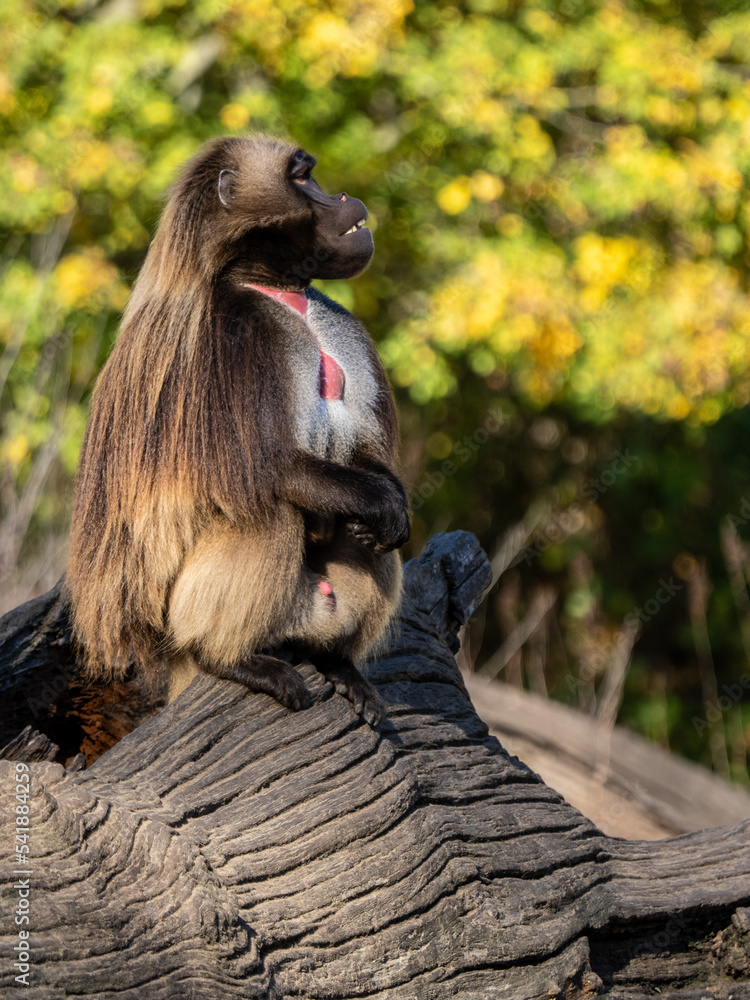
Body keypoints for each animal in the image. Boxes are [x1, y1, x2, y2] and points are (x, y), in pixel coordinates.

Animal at [65, 134, 410, 726]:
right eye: (303, 177)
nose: (346, 199)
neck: (268, 285)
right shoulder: (233, 336)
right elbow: (270, 468)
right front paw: (382, 503)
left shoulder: (342, 329)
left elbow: (370, 461)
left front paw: (394, 506)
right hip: (185, 616)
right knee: (267, 508)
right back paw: (232, 659)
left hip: (310, 609)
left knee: (364, 542)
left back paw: (338, 662)